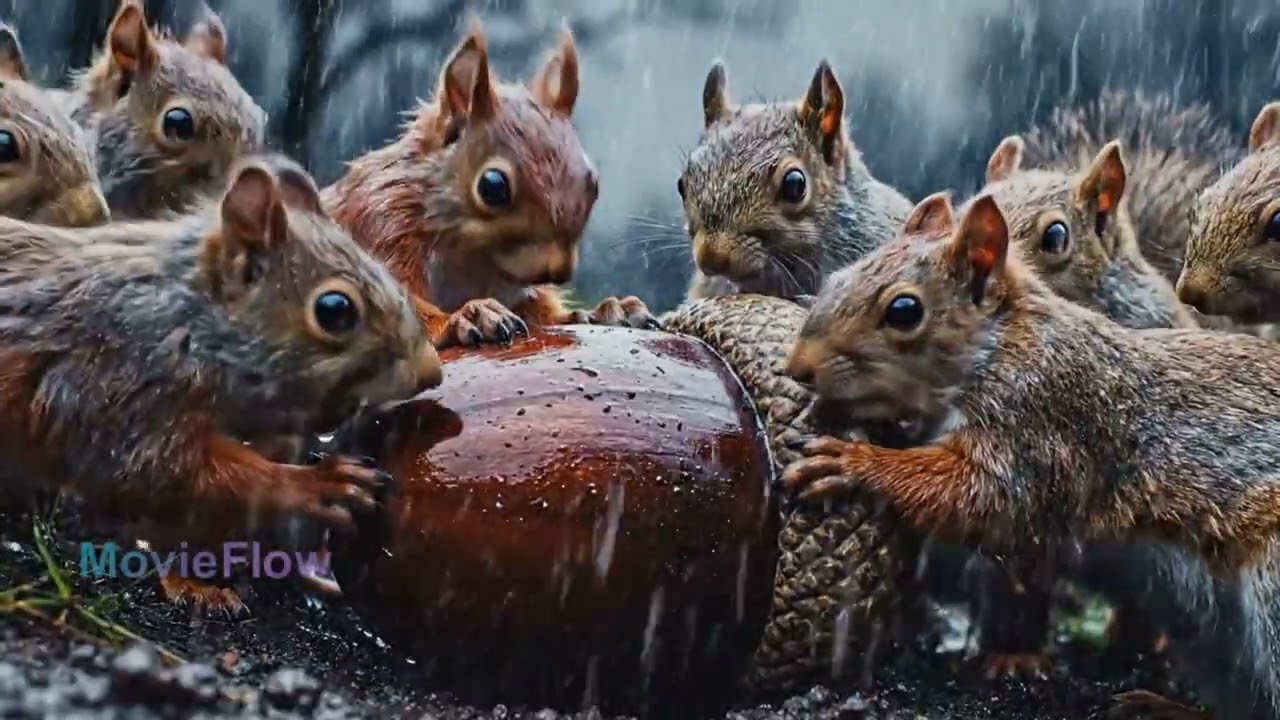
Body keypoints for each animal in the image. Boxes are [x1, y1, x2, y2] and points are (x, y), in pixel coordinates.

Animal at [0, 153, 442, 616]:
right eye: (335, 310)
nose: (431, 371)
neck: (187, 321)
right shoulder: (122, 387)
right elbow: (162, 475)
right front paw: (316, 484)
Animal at [323, 21, 656, 349]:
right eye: (493, 186)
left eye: (593, 183)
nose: (557, 271)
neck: (474, 259)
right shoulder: (380, 229)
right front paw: (466, 316)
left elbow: (541, 313)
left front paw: (605, 311)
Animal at [782, 191, 1280, 719]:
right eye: (836, 278)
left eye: (903, 311)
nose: (798, 367)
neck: (1000, 346)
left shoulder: (1040, 423)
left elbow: (981, 497)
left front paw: (856, 461)